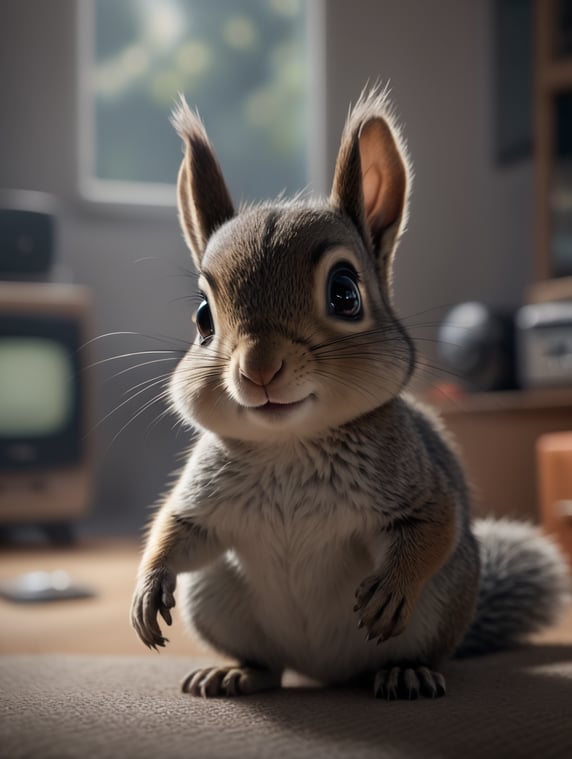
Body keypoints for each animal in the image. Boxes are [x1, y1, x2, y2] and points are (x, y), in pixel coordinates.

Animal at [131, 87, 569, 700]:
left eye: (345, 293)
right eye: (202, 318)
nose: (259, 368)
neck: (290, 445)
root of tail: (326, 672)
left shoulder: (420, 486)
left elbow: (434, 527)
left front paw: (392, 586)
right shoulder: (203, 501)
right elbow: (174, 530)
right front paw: (147, 589)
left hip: (438, 607)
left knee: (411, 651)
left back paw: (406, 672)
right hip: (215, 597)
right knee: (268, 665)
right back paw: (236, 671)